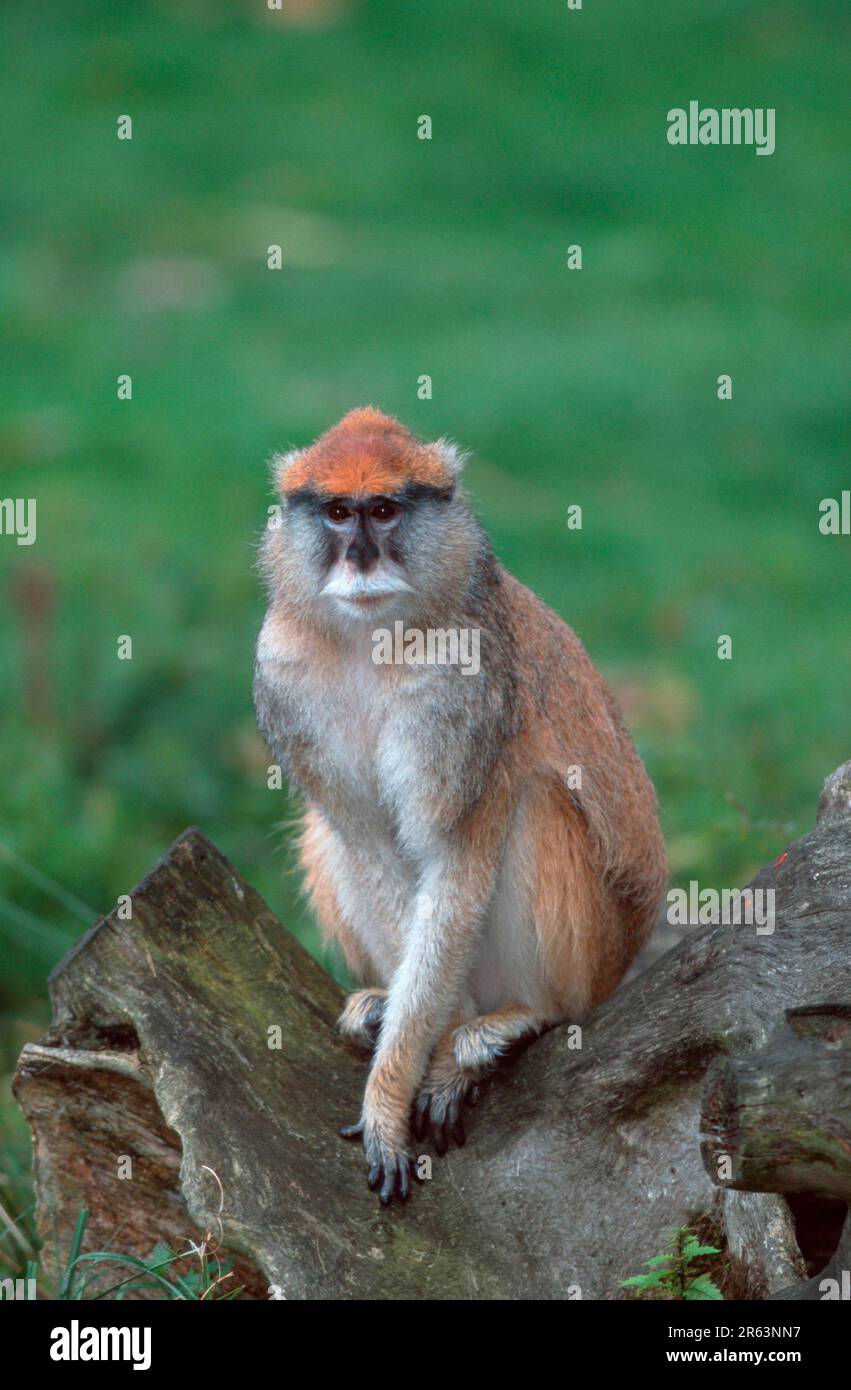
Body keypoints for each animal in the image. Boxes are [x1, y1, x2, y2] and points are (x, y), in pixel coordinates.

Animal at [254, 407, 667, 1205]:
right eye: (338, 512)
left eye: (385, 511)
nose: (359, 559)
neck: (376, 638)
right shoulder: (284, 673)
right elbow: (366, 841)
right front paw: (411, 1066)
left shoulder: (463, 697)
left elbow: (456, 860)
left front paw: (424, 1072)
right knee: (328, 831)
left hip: (594, 954)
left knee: (535, 802)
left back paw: (519, 1020)